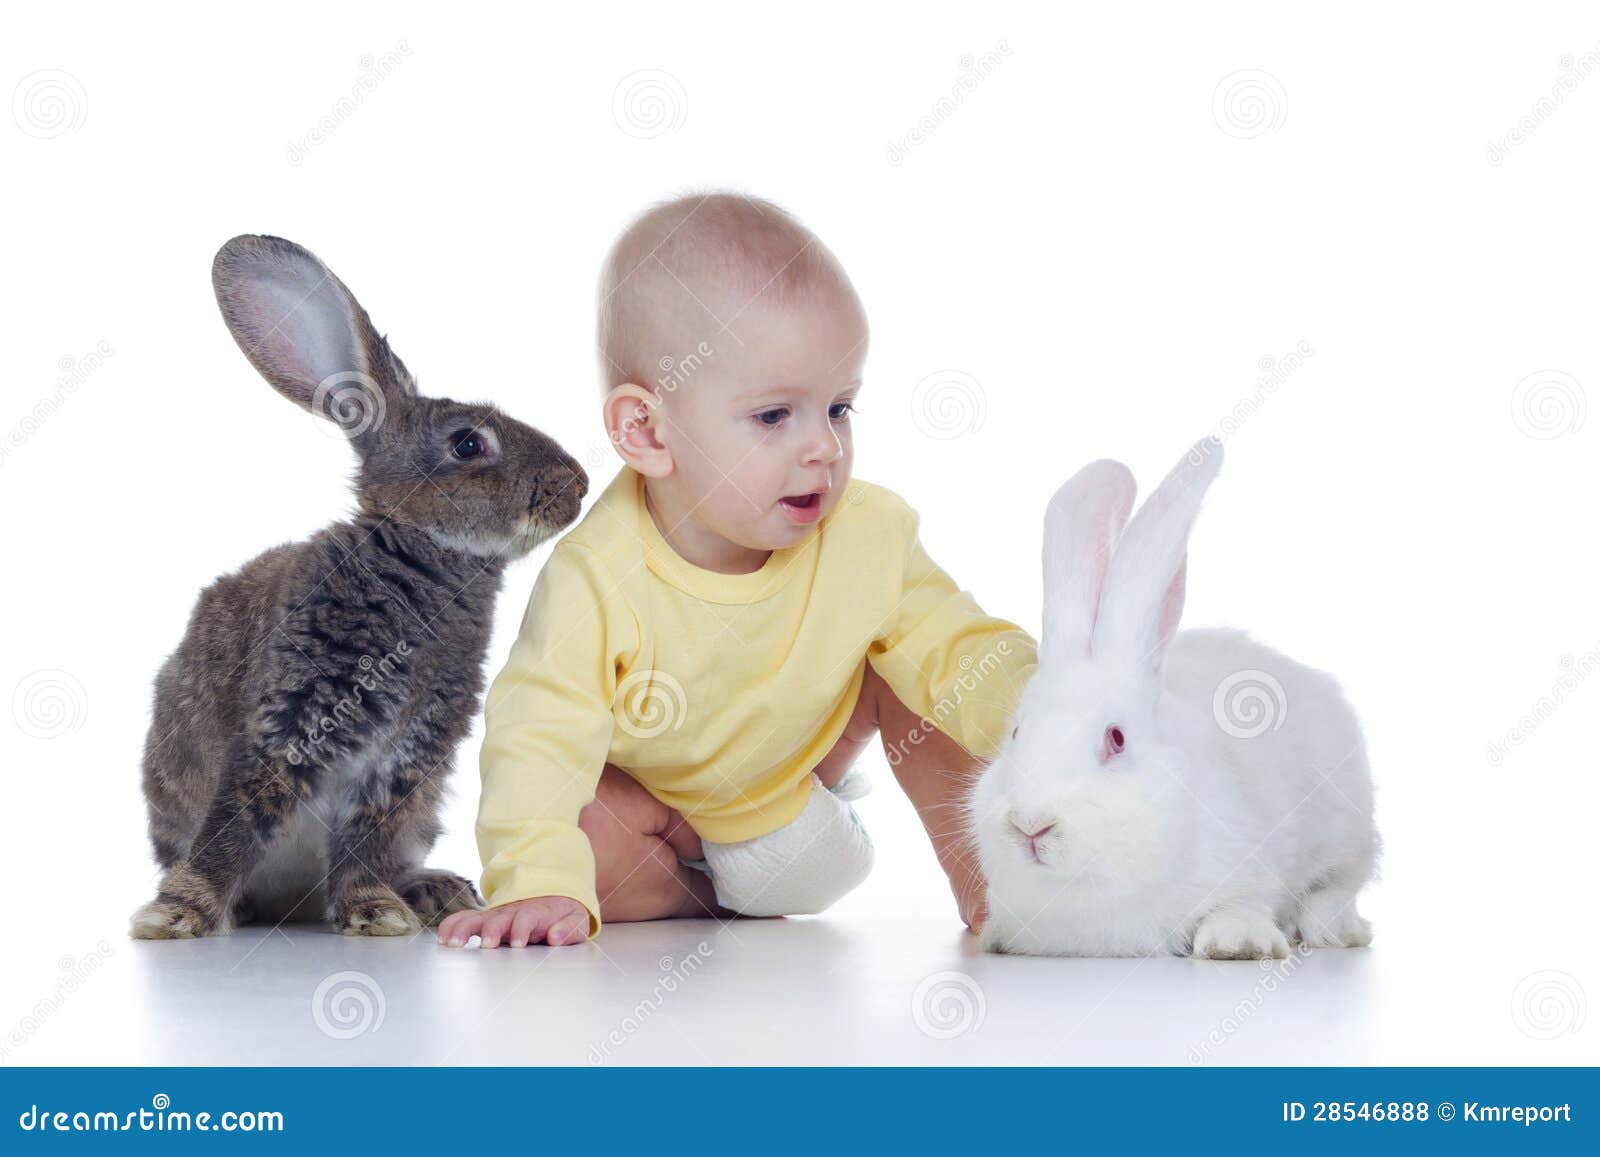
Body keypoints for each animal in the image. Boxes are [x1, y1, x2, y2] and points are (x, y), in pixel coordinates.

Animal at [130, 235, 588, 939]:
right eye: (468, 443)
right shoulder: (285, 726)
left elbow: (366, 838)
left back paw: (431, 892)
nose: (578, 484)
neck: (419, 559)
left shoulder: (403, 761)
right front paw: (178, 913)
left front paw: (376, 912)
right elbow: (237, 820)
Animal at [970, 439, 1379, 959]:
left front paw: (1236, 943)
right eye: (1017, 733)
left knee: (1339, 885)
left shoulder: (1252, 859)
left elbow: (1244, 903)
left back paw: (1333, 931)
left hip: (1348, 828)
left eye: (1117, 738)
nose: (1031, 824)